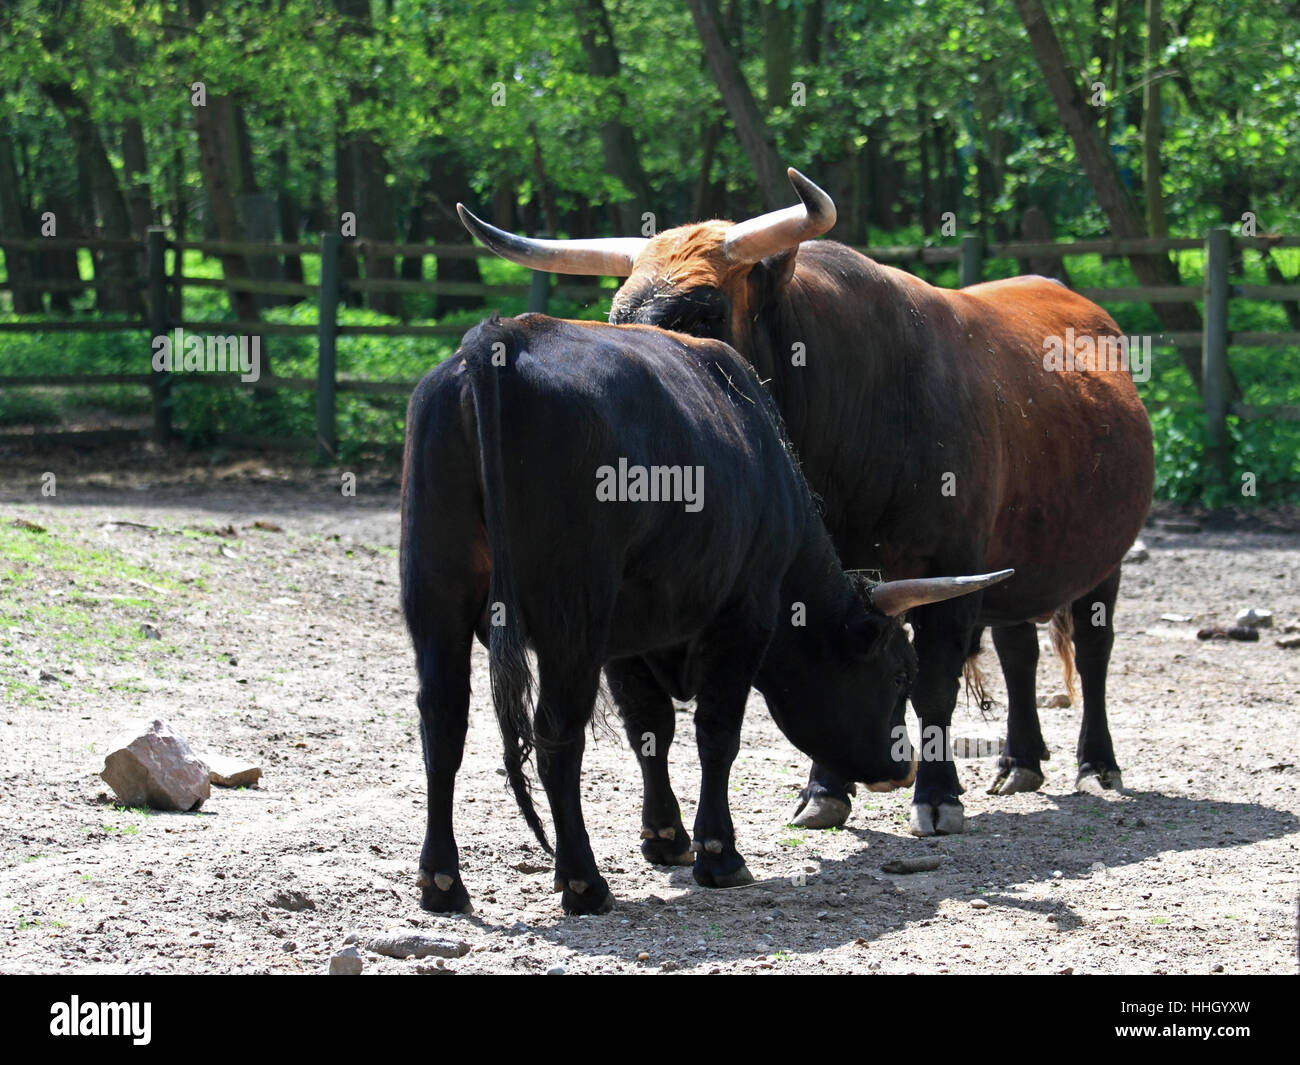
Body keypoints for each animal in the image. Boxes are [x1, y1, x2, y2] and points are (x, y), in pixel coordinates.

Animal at [400, 312, 1010, 913]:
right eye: (900, 674)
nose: (903, 767)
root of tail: (499, 339)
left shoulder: (628, 639)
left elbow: (650, 730)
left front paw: (665, 836)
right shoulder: (744, 618)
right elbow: (717, 732)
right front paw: (719, 854)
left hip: (437, 600)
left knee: (443, 724)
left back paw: (442, 881)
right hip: (571, 618)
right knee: (557, 736)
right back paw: (582, 881)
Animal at [458, 168, 1154, 841]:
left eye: (705, 312)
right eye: (618, 312)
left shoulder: (951, 567)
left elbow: (933, 685)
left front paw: (936, 797)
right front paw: (824, 790)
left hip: (1103, 560)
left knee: (1093, 651)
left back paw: (1097, 764)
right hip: (1021, 559)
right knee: (1018, 649)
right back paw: (1019, 761)